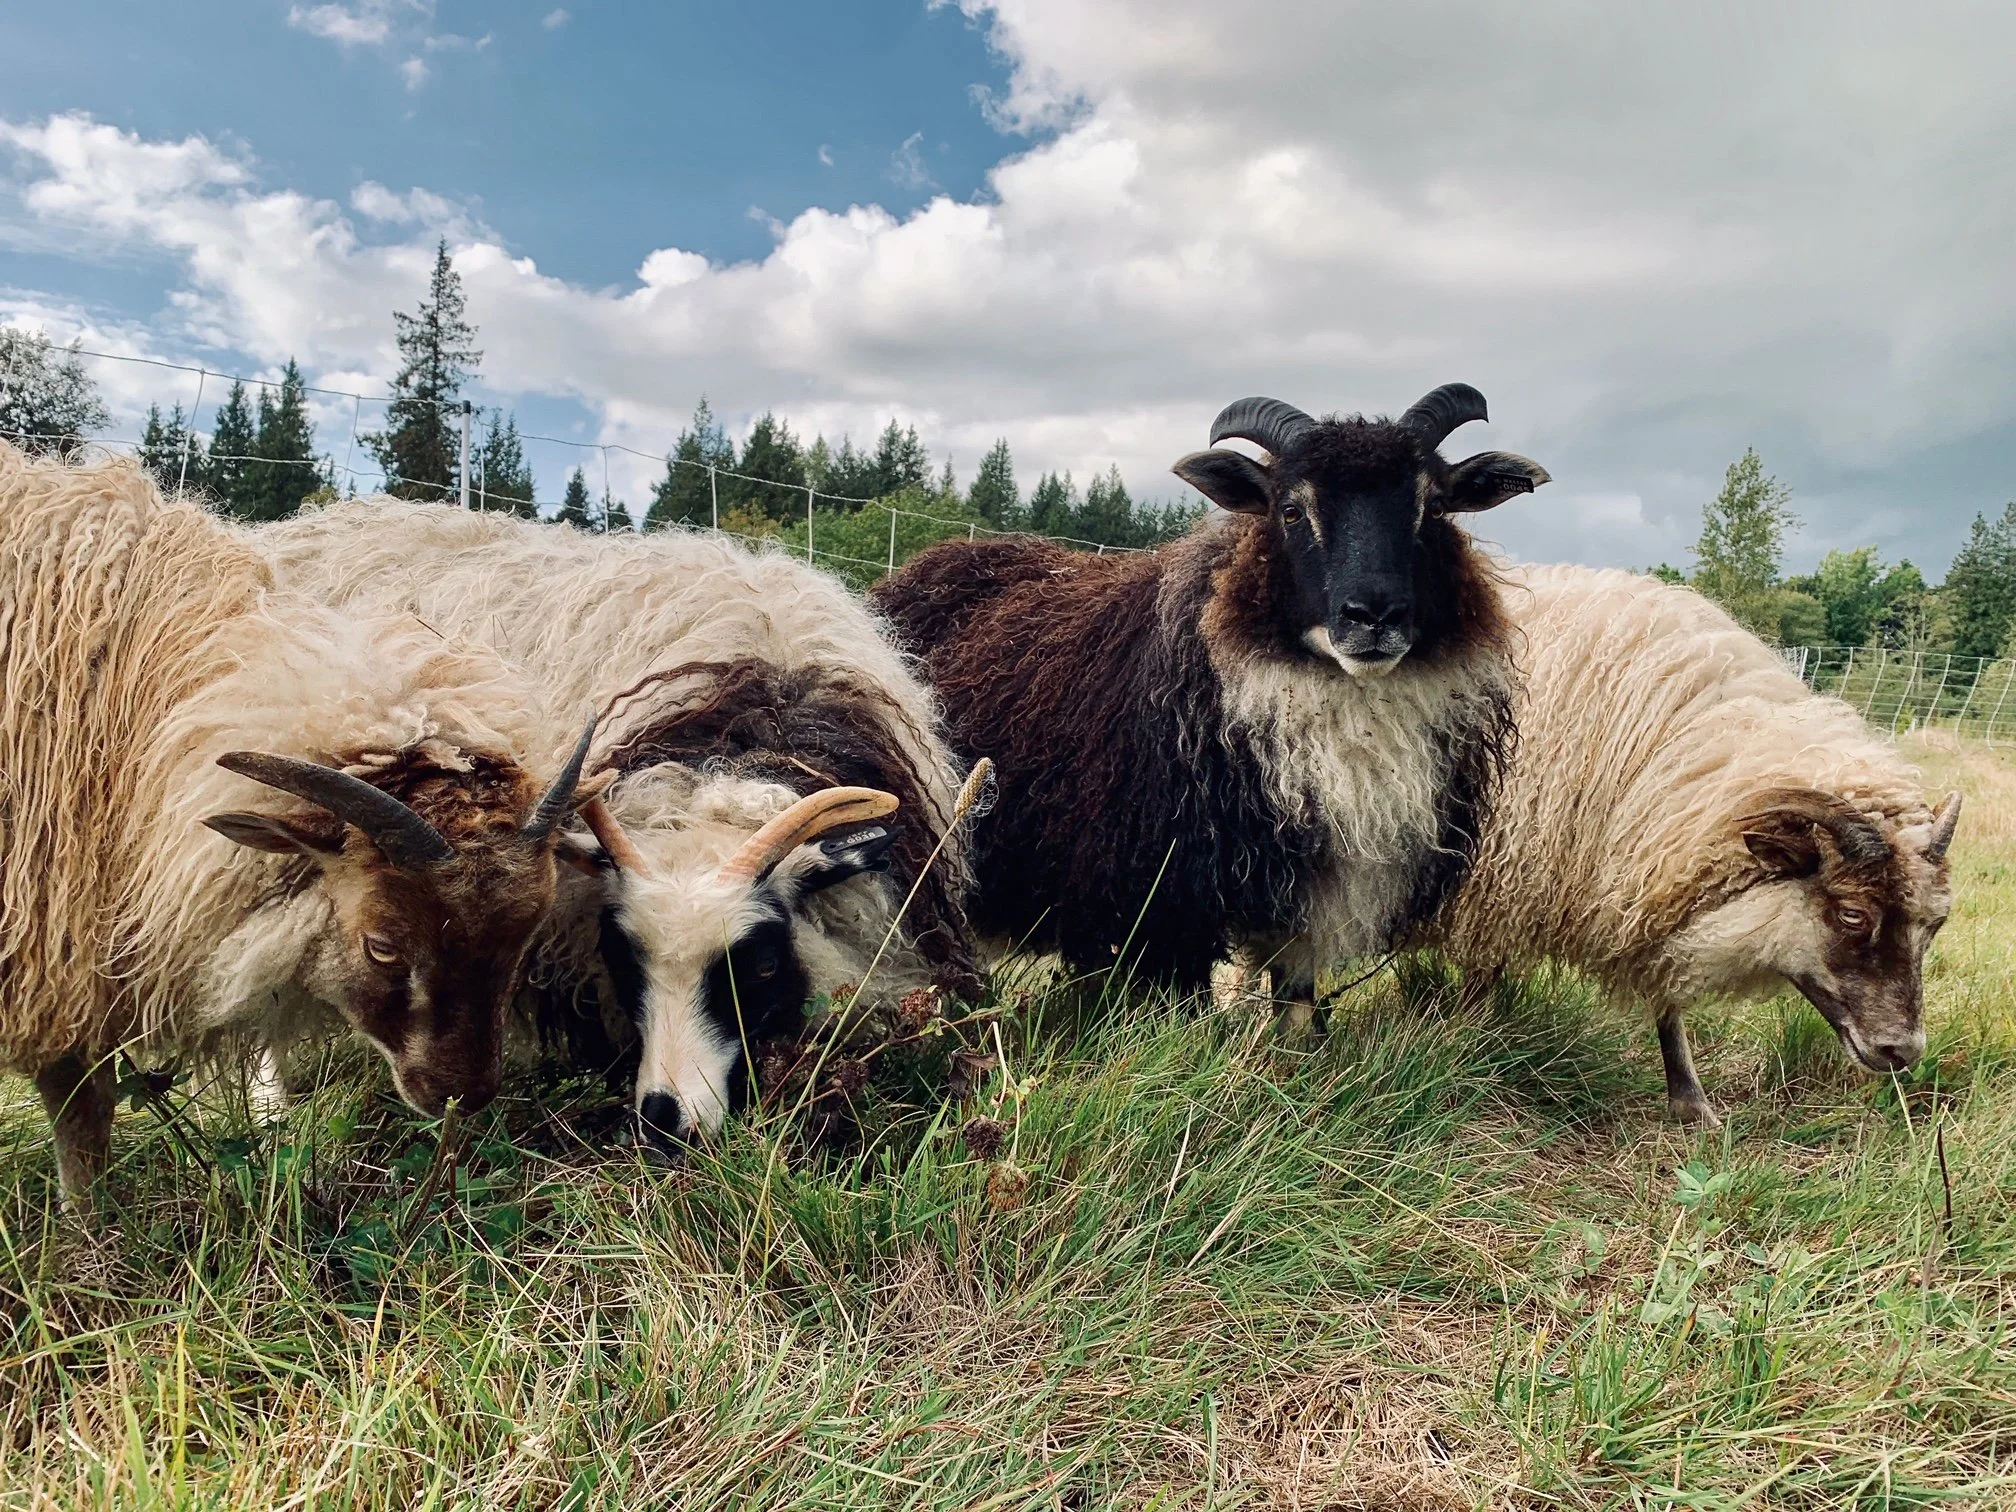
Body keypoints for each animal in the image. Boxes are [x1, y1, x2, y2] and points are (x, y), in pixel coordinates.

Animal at [0, 444, 593, 1201]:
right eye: (382, 947)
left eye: (524, 938)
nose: (463, 1096)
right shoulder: (49, 956)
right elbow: (81, 1123)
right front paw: (92, 1223)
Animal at [871, 386, 1549, 1014]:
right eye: (1290, 509)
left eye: (1433, 506)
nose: (1374, 616)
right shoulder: (1169, 908)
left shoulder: (1308, 907)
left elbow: (1298, 1019)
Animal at [1433, 563, 1961, 1127]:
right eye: (1852, 915)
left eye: (1935, 925)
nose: (1902, 1053)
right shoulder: (1496, 873)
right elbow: (1482, 970)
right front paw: (1469, 1043)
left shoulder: (1654, 875)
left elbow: (1668, 995)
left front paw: (1690, 1102)